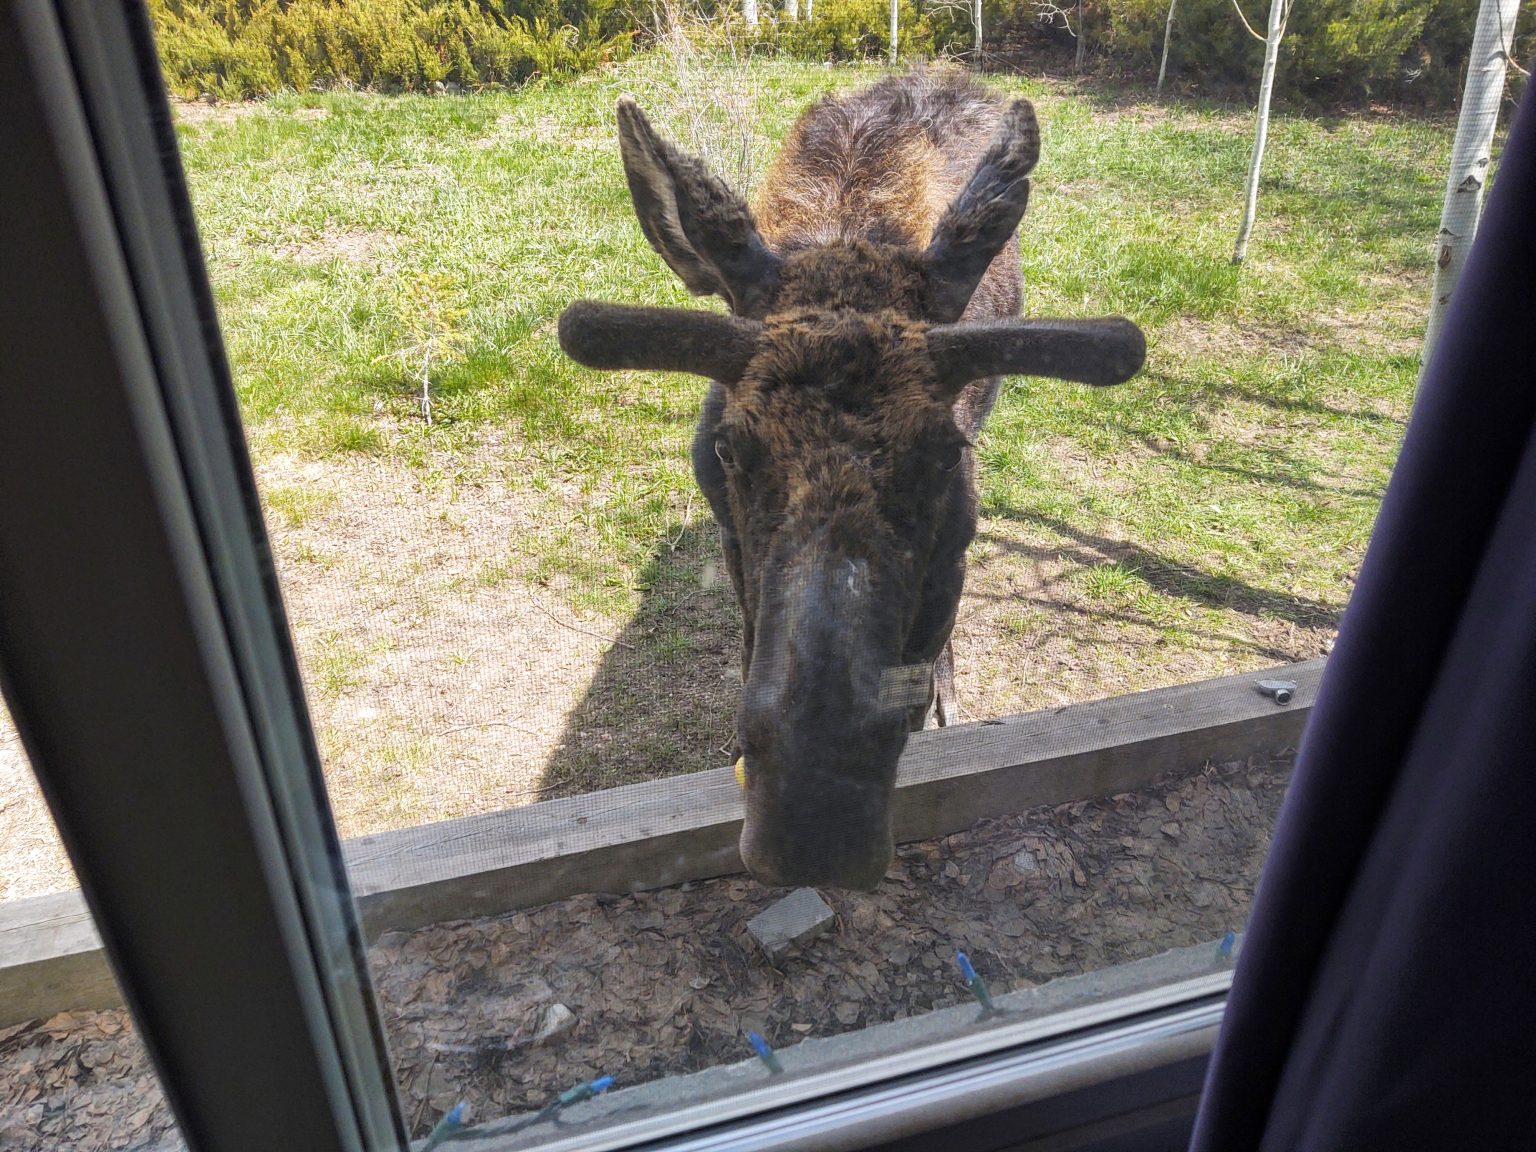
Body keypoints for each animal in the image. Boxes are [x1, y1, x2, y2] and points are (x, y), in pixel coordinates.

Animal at [559, 69, 1144, 890]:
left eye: (944, 454)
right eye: (729, 450)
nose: (815, 823)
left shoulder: (956, 543)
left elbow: (927, 650)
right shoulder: (730, 537)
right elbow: (749, 638)